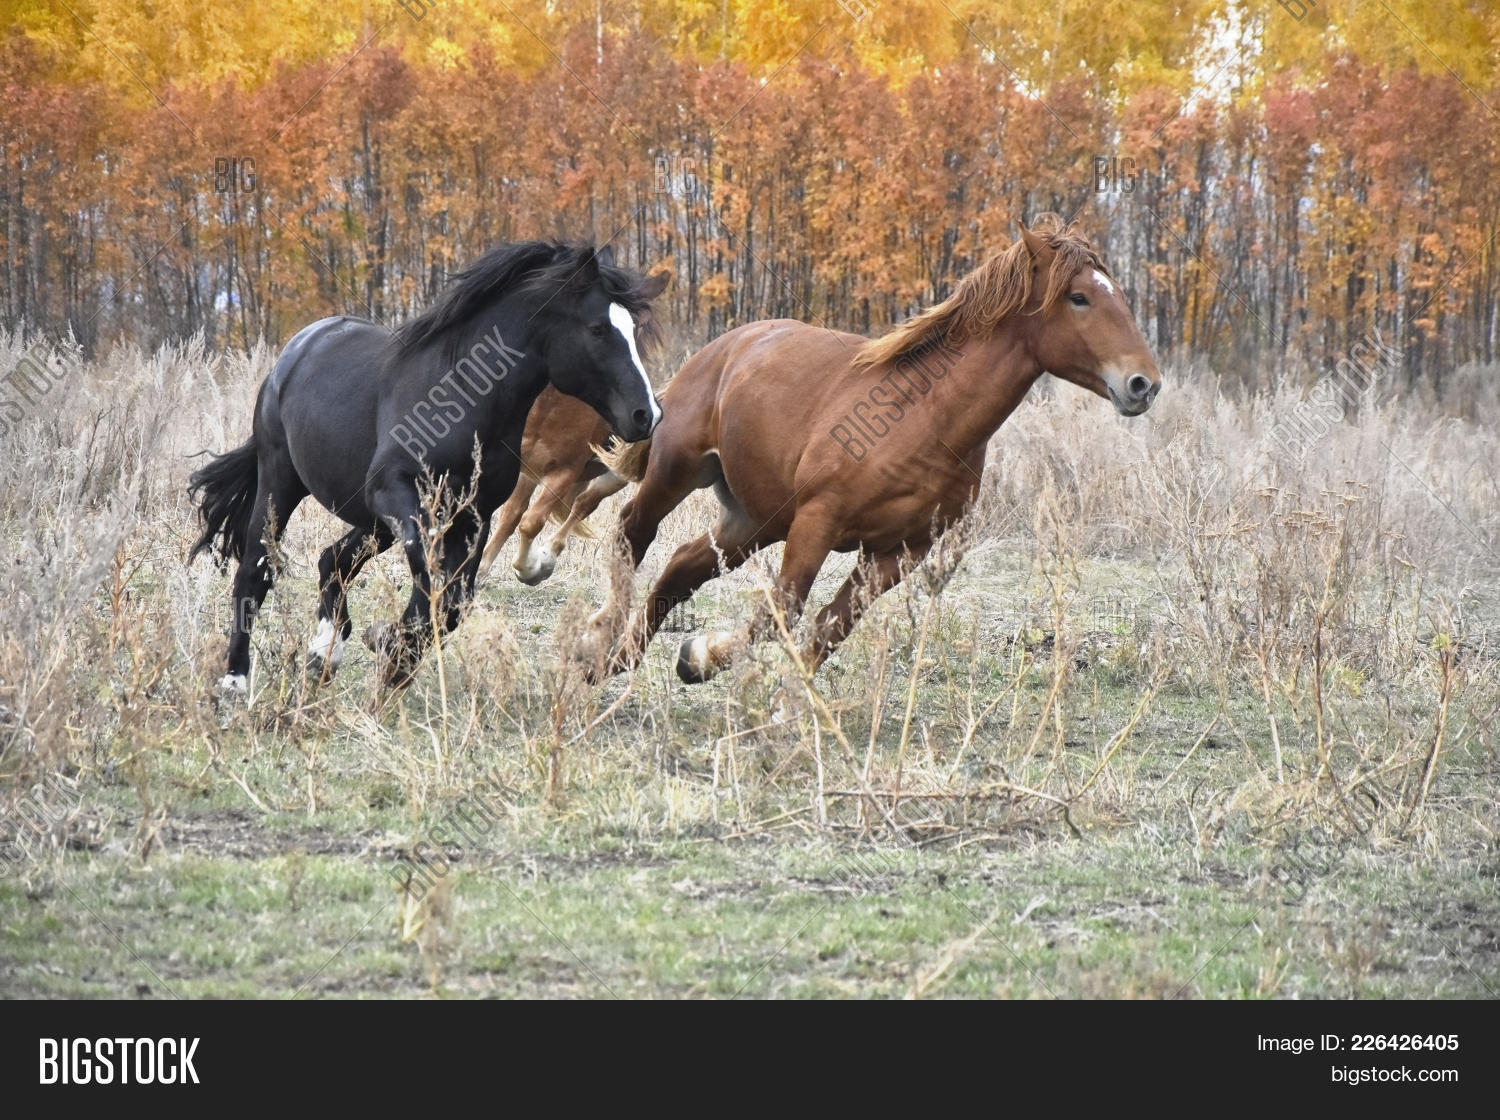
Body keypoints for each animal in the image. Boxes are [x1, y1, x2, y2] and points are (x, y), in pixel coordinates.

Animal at [475, 385, 633, 585]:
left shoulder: (564, 473)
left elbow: (531, 523)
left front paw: (529, 569)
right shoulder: (527, 469)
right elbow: (511, 515)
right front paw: (478, 570)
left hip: (618, 474)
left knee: (585, 504)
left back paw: (547, 557)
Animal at [585, 217, 1162, 685]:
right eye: (1079, 297)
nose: (1143, 384)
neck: (926, 421)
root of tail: (728, 345)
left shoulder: (899, 551)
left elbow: (830, 625)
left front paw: (767, 695)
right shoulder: (818, 521)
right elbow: (783, 612)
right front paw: (703, 655)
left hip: (756, 517)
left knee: (682, 565)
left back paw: (620, 659)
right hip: (678, 470)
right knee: (633, 531)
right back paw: (597, 647)